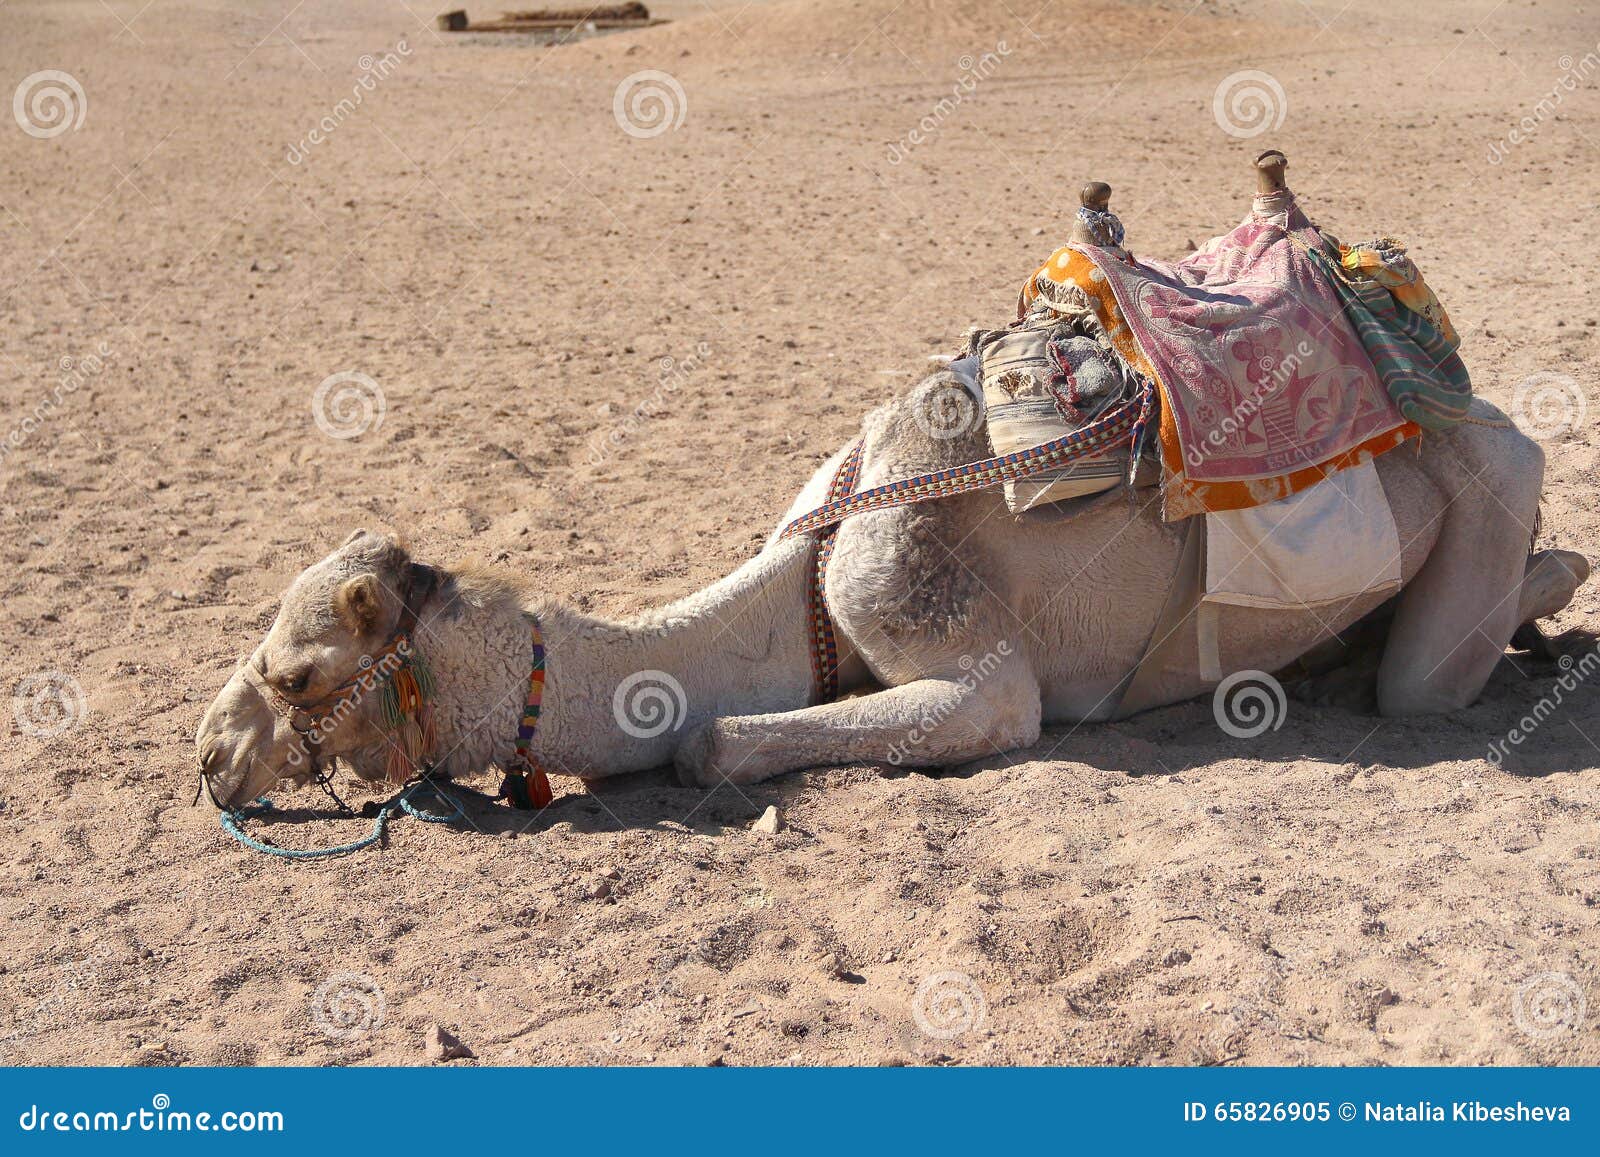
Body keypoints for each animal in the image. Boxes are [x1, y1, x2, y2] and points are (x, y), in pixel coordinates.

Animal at [195, 374, 1589, 813]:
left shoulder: (954, 648)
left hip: (1489, 473)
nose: (208, 755)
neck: (799, 595)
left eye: (299, 674)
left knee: (1428, 672)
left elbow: (708, 740)